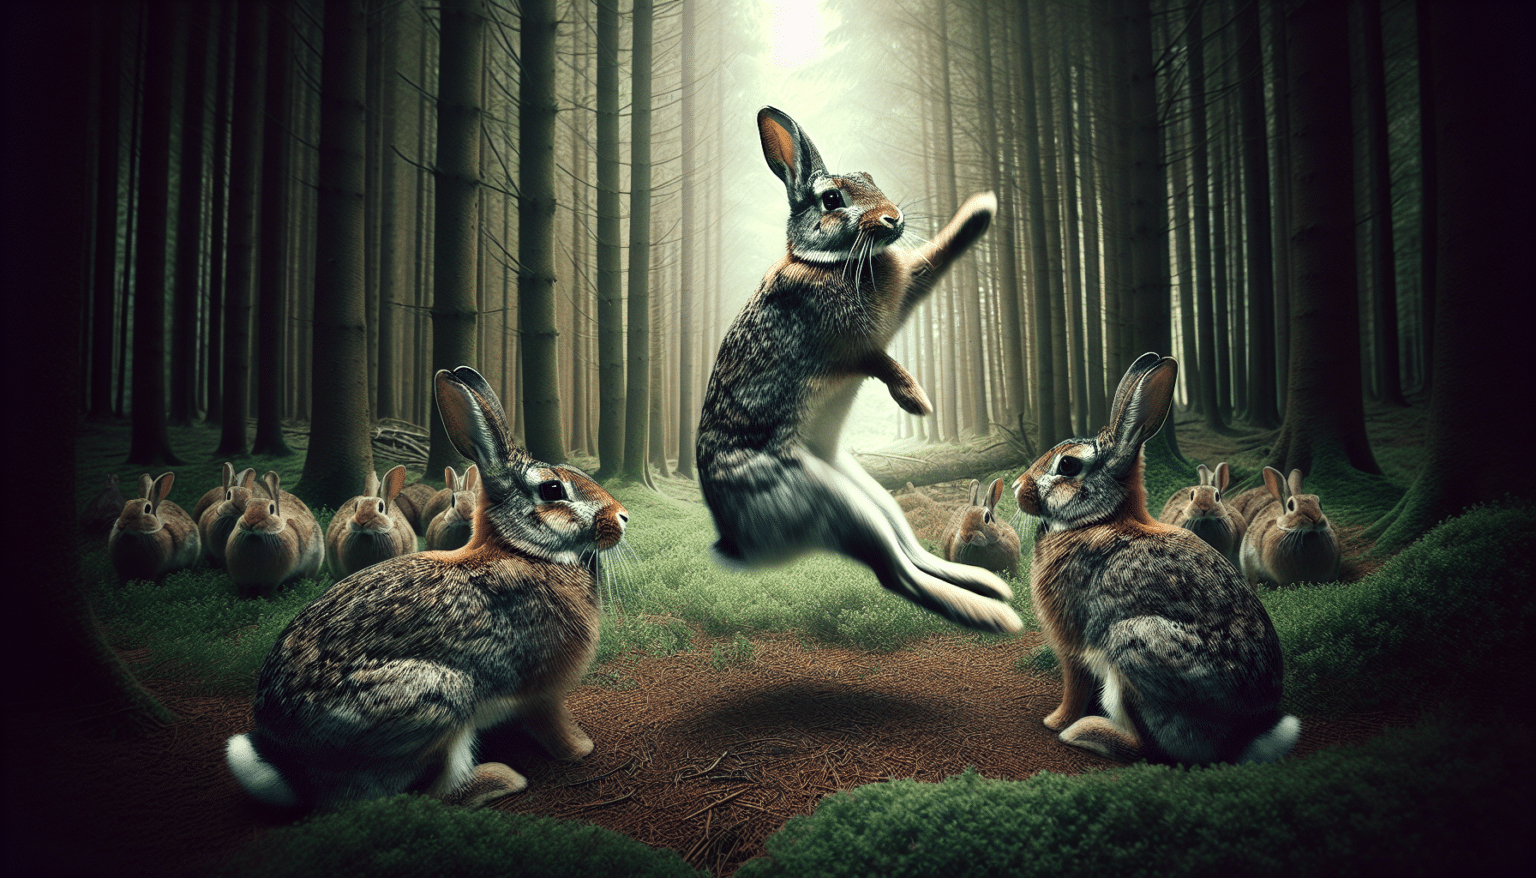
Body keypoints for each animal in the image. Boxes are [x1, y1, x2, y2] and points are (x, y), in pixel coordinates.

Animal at [226, 366, 629, 811]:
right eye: (553, 490)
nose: (623, 517)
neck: (523, 549)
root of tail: (290, 764)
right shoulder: (542, 690)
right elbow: (551, 722)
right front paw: (580, 749)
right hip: (438, 701)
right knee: (421, 793)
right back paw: (499, 780)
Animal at [694, 106, 1019, 634]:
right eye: (832, 199)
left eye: (870, 178)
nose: (894, 218)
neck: (827, 261)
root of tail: (737, 537)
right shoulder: (848, 346)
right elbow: (881, 361)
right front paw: (917, 401)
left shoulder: (901, 298)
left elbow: (931, 261)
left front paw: (981, 210)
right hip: (828, 500)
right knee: (894, 571)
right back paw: (991, 612)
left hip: (867, 490)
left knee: (908, 548)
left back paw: (985, 582)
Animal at [1012, 353, 1298, 765]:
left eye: (1067, 466)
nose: (1017, 487)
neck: (1099, 518)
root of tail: (1243, 734)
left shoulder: (1072, 641)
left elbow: (1074, 683)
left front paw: (1055, 722)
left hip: (1134, 649)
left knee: (1153, 750)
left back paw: (1087, 733)